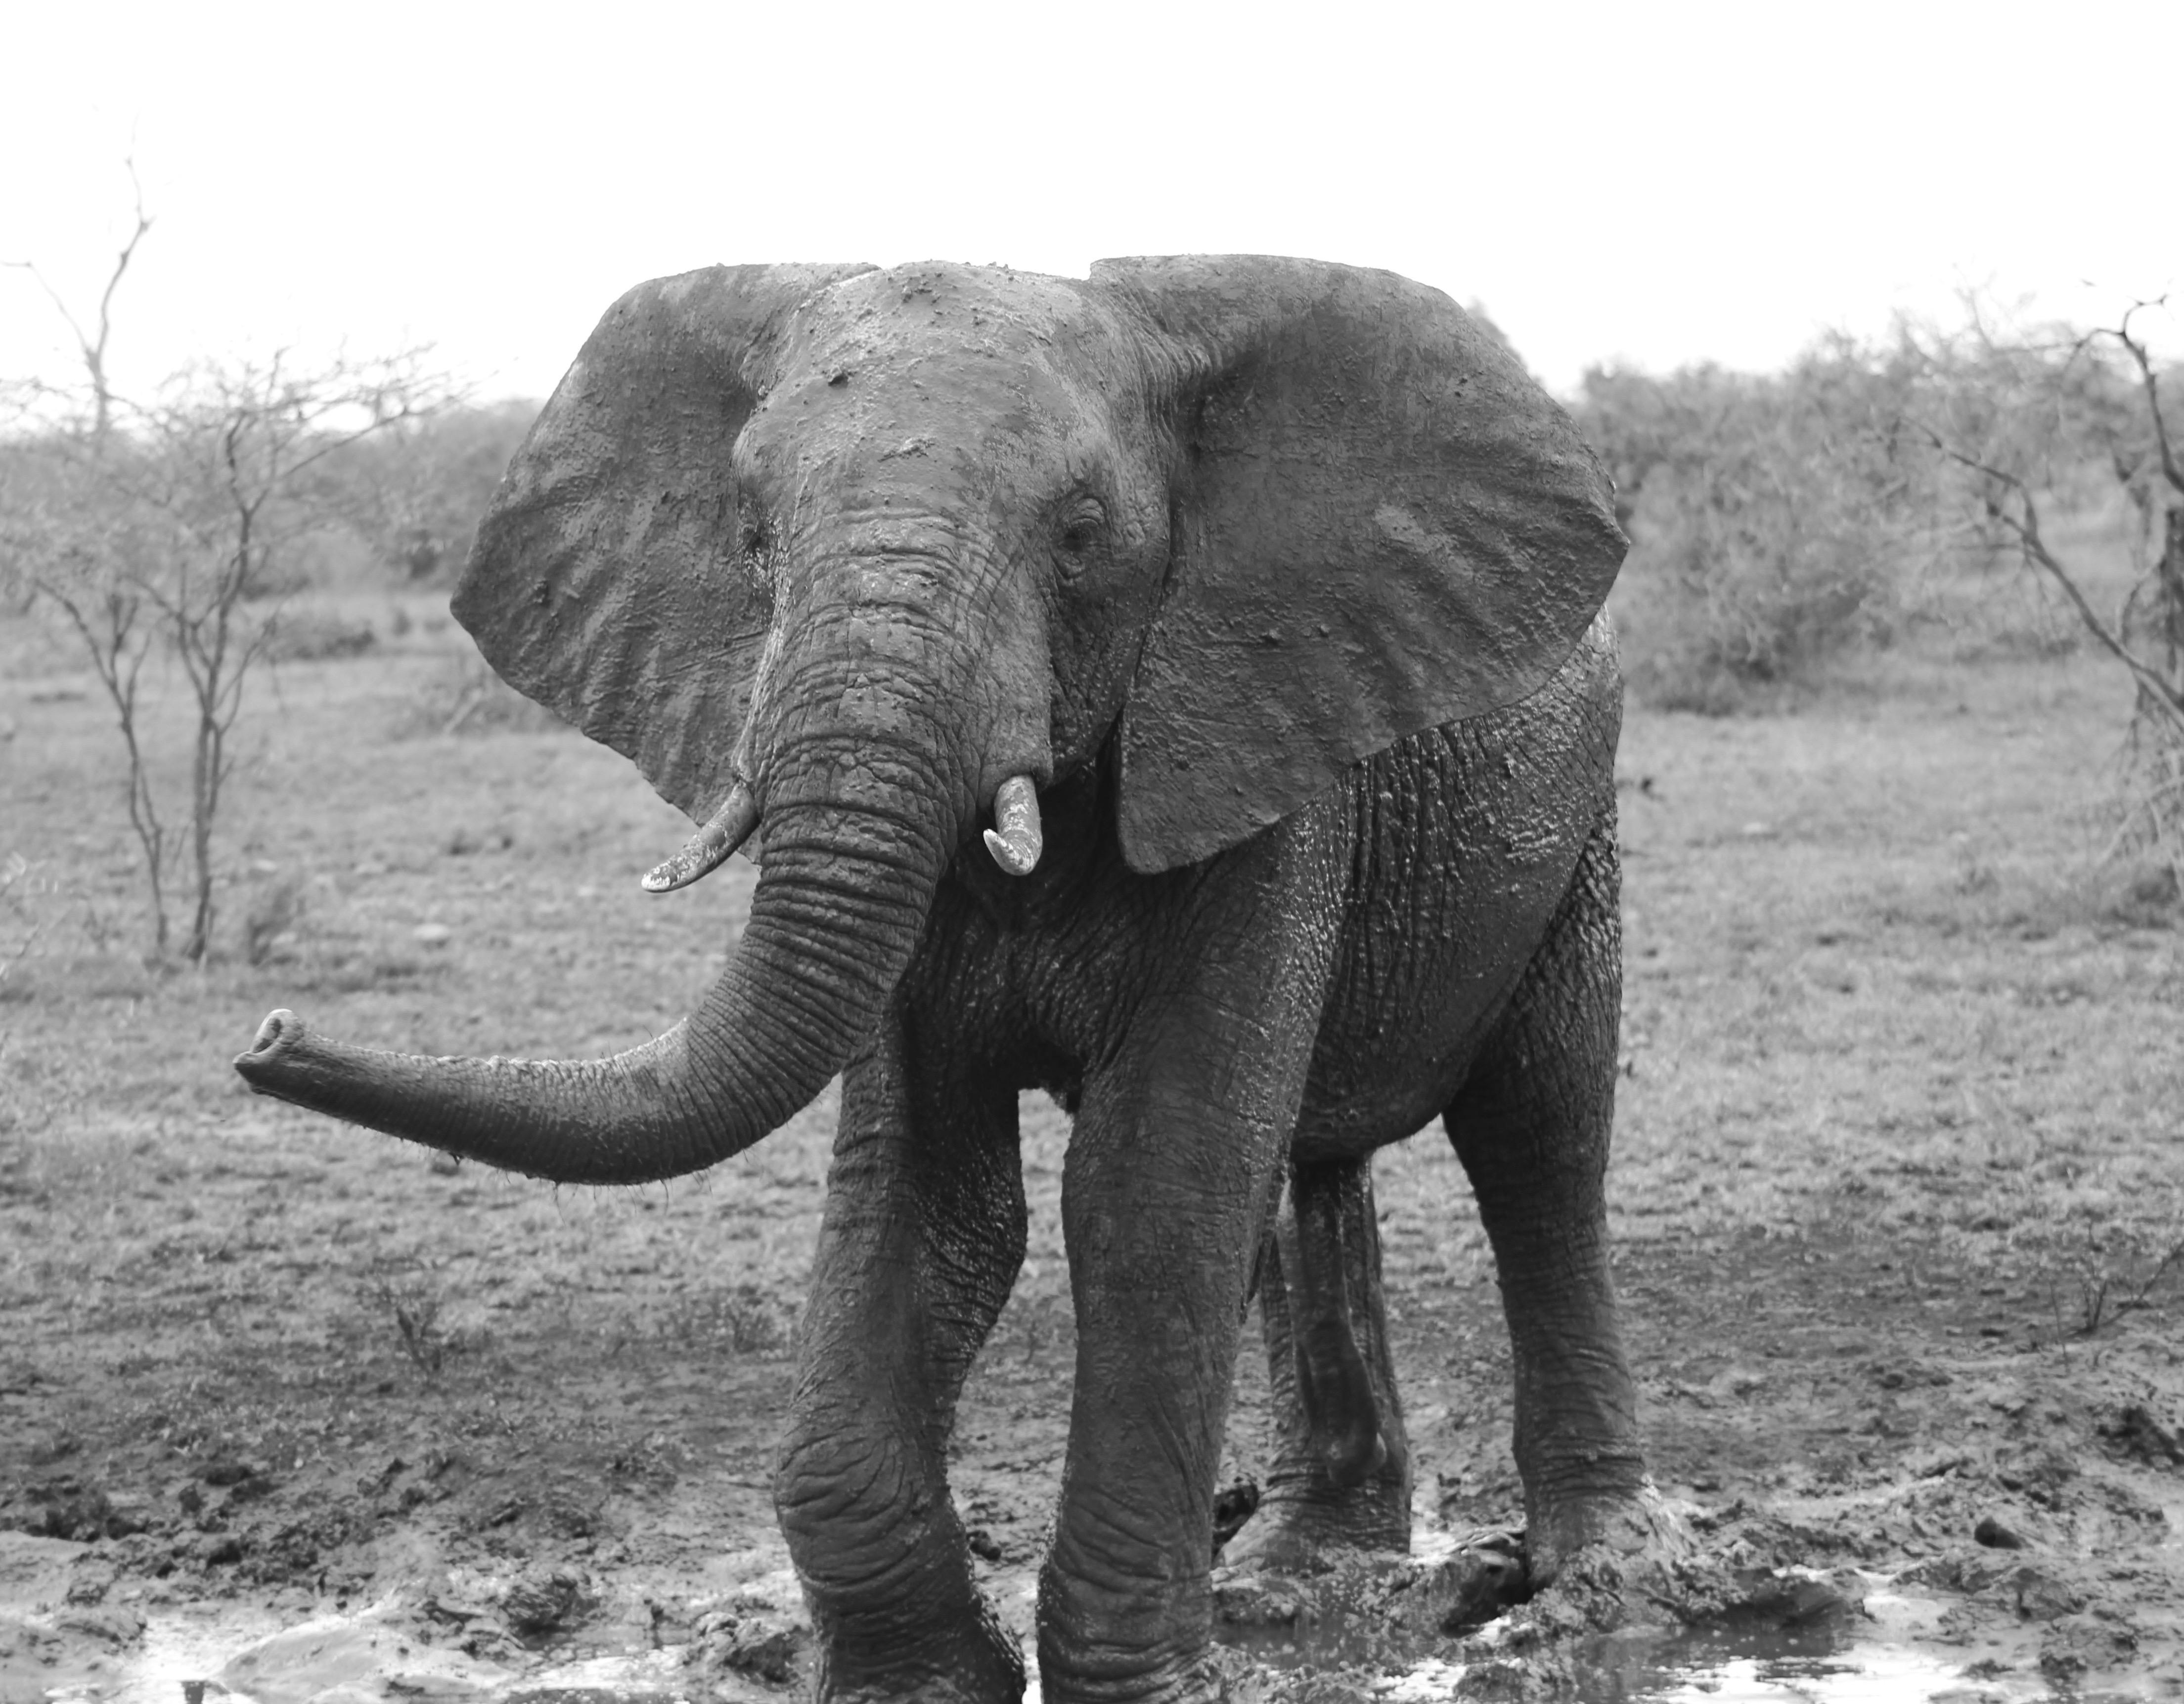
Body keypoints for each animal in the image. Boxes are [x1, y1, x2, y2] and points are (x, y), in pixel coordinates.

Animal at [234, 255, 1644, 1701]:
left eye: (1081, 532)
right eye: (752, 534)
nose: (269, 1032)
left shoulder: (1247, 747)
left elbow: (1147, 1188)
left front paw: (1130, 1679)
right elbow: (932, 1194)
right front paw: (931, 1674)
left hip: (1571, 827)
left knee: (1537, 1138)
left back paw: (1599, 1576)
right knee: (1309, 1168)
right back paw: (1300, 1568)